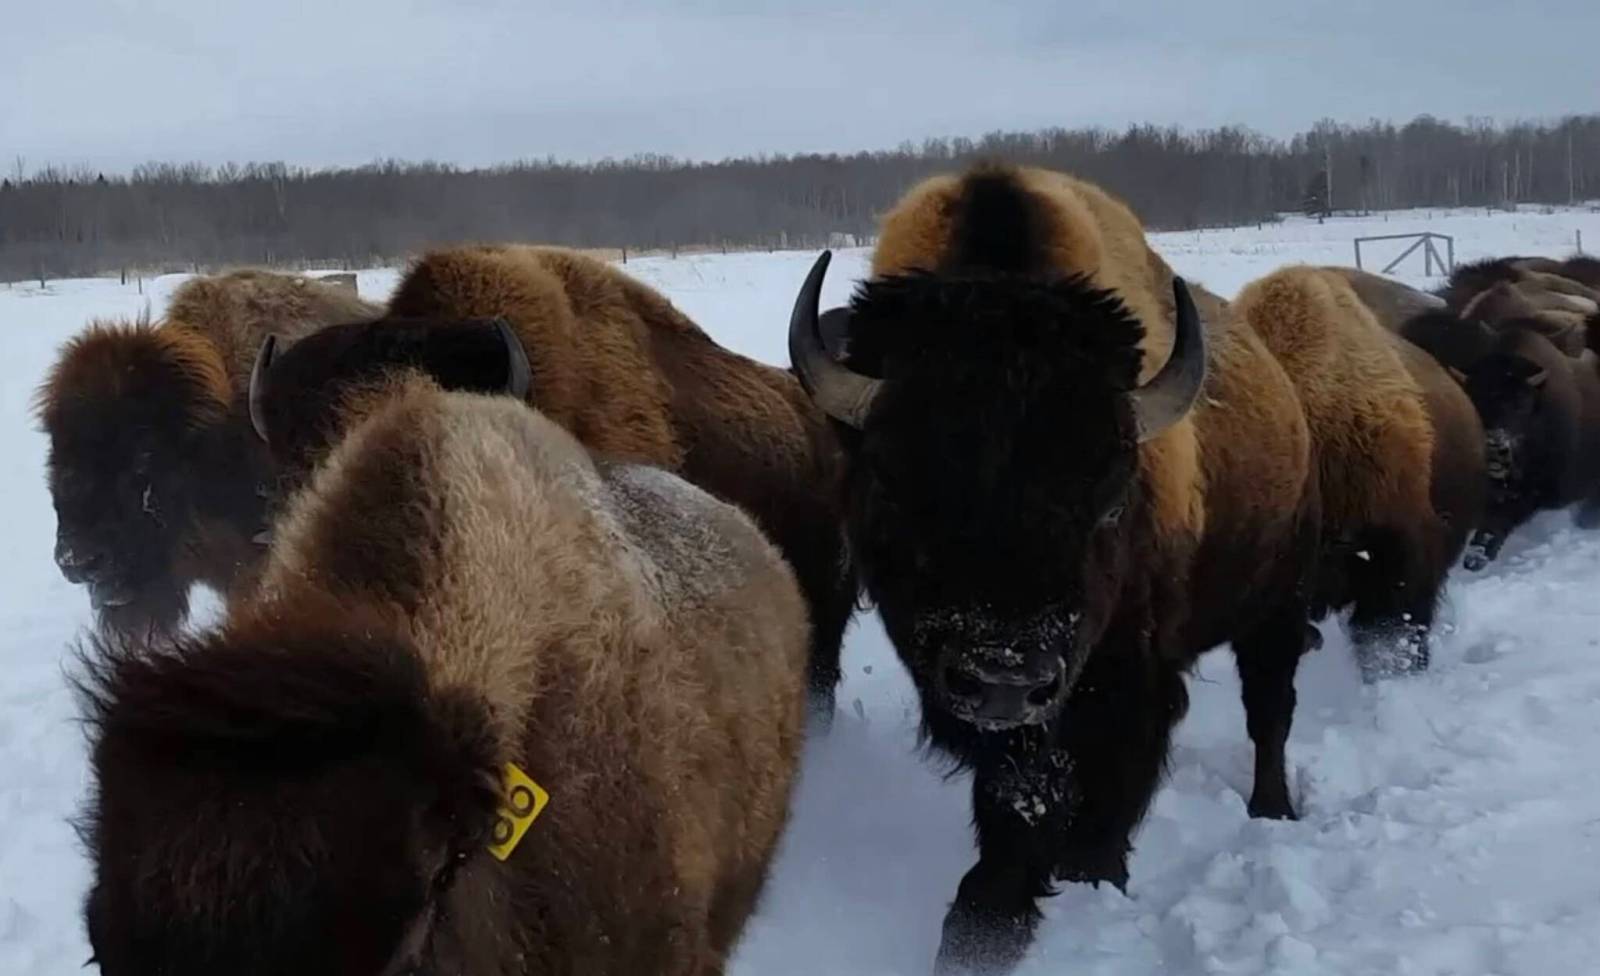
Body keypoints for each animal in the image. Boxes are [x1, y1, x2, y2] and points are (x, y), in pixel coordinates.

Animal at [787, 163, 1481, 973]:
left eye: (1112, 494)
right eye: (891, 481)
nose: (1004, 678)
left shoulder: (1124, 677)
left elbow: (1109, 780)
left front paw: (1085, 880)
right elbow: (1016, 805)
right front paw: (989, 921)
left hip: (1276, 608)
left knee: (1270, 713)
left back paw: (1271, 809)